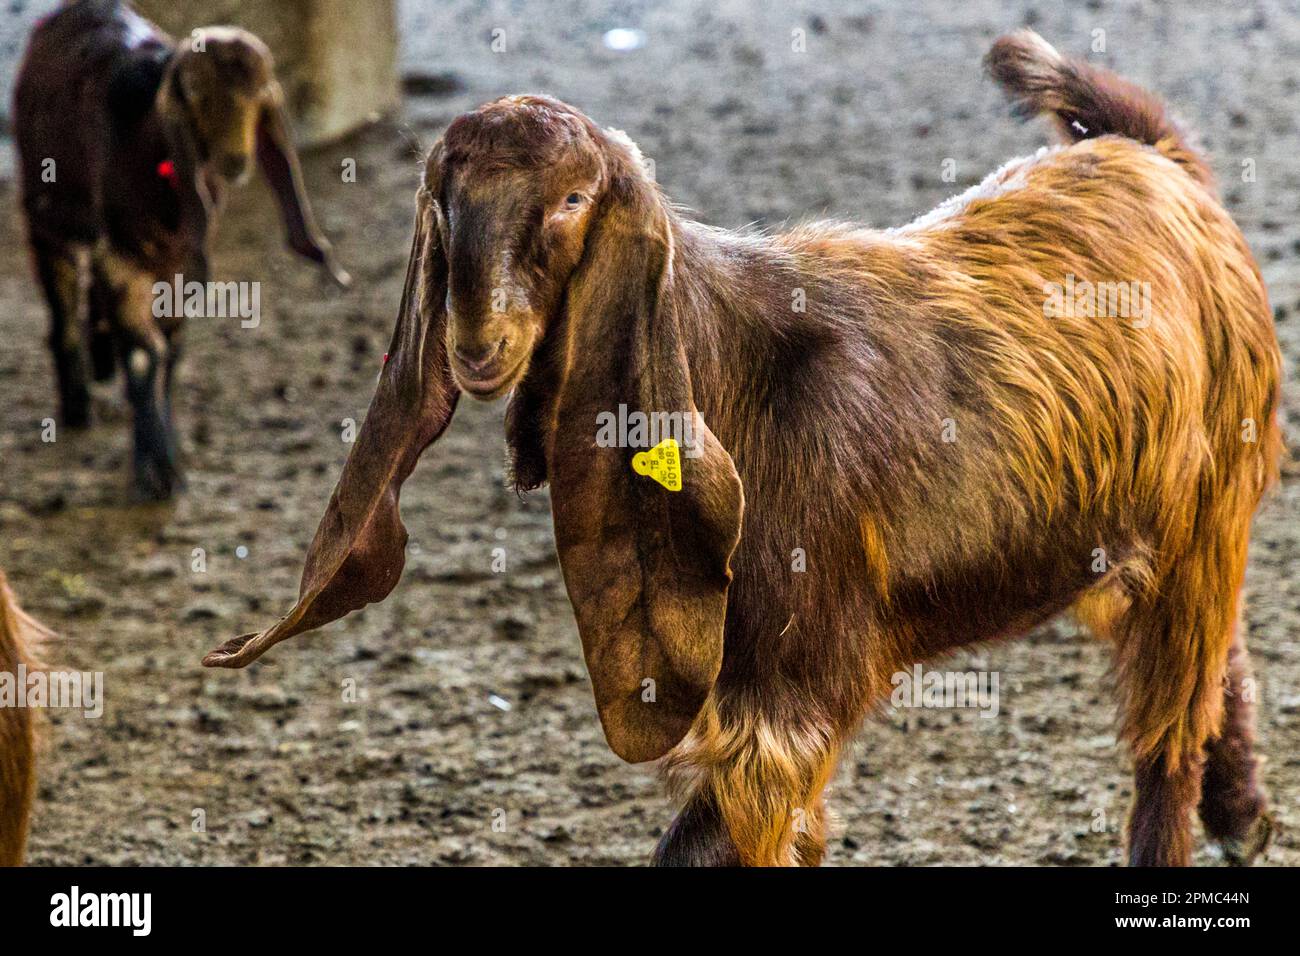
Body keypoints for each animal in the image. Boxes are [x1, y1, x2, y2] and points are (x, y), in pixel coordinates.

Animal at [14, 0, 348, 500]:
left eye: (257, 99)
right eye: (193, 95)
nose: (234, 161)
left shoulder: (176, 266)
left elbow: (171, 351)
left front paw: (169, 451)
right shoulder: (120, 256)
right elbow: (145, 354)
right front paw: (155, 474)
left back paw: (100, 363)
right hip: (46, 214)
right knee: (63, 304)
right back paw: (76, 405)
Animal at [203, 31, 1282, 867]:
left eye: (570, 202)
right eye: (441, 202)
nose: (476, 345)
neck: (731, 362)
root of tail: (1154, 157)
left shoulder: (790, 684)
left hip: (1205, 508)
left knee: (1167, 730)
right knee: (1213, 660)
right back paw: (1243, 812)